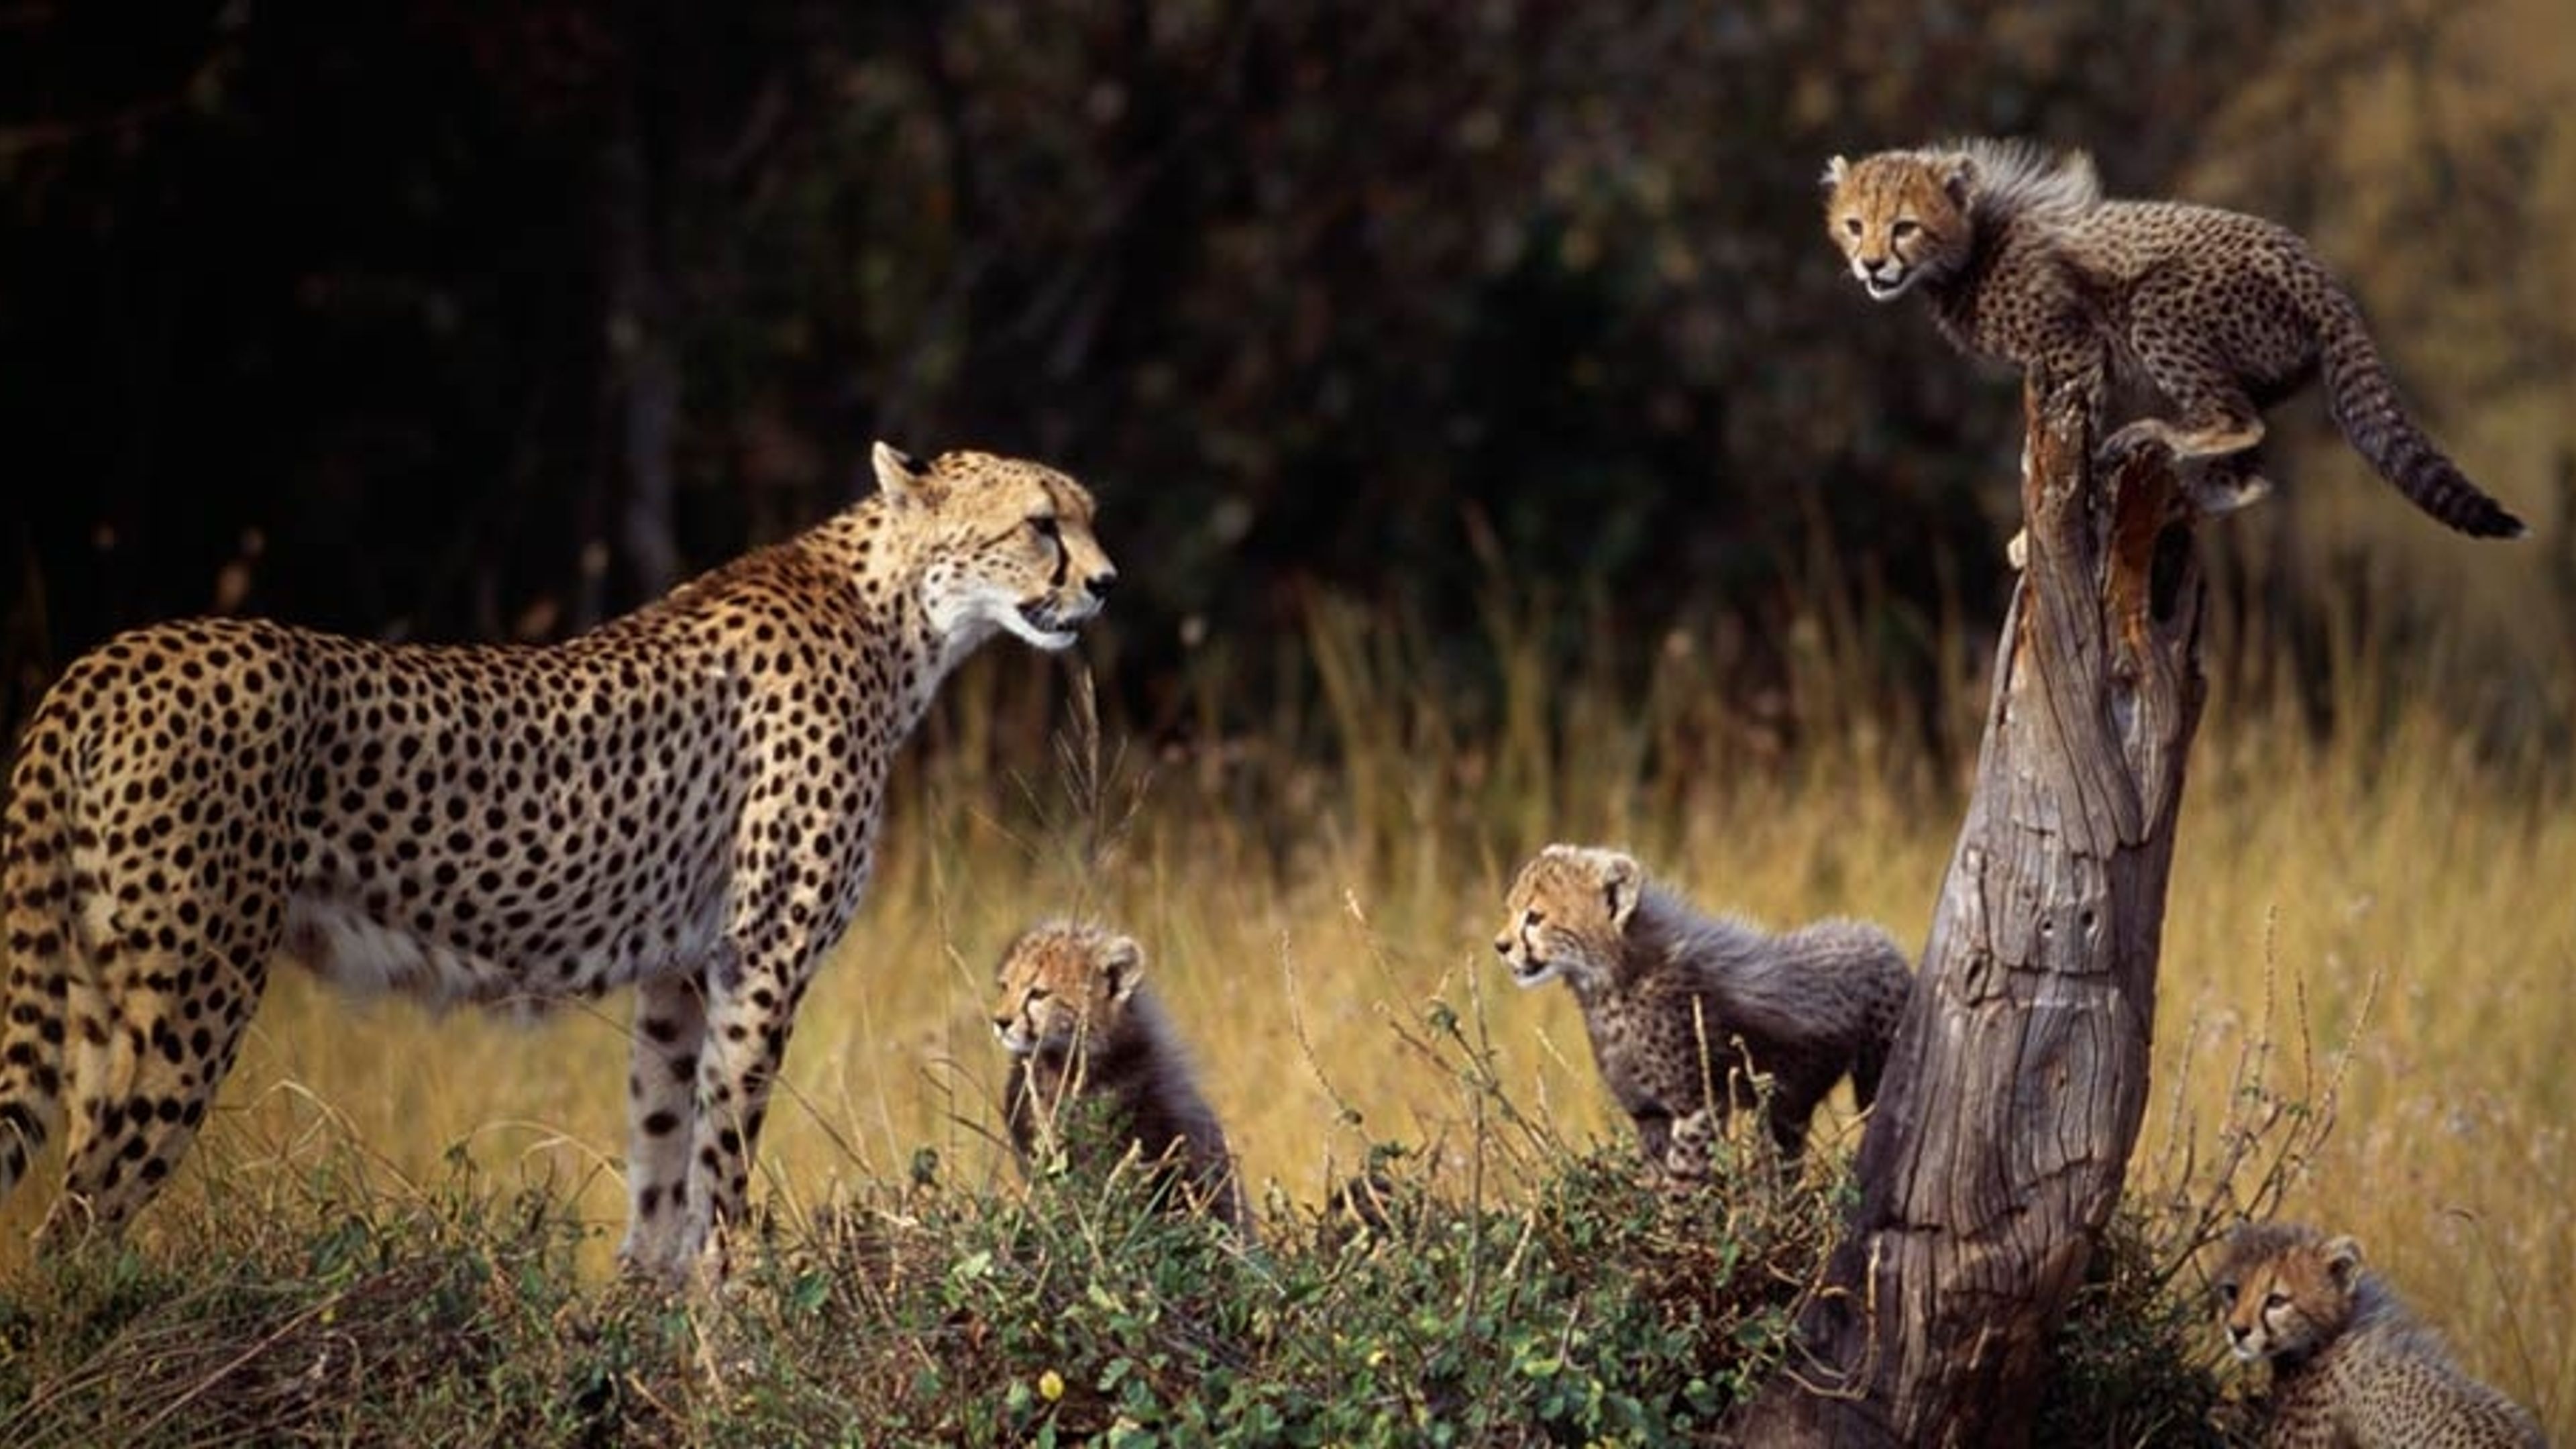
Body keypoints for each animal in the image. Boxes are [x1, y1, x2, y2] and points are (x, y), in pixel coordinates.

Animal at [0, 441, 1116, 1283]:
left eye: (1088, 516)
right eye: (1039, 524)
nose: (1105, 585)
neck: (901, 617)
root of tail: (110, 660)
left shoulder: (678, 976)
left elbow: (665, 1162)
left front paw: (650, 1325)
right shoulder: (761, 962)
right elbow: (725, 1165)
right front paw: (736, 1321)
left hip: (104, 999)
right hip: (196, 993)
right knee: (75, 1227)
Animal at [1493, 843, 1913, 1182]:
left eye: (1535, 917)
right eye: (1511, 911)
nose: (1500, 946)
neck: (1611, 981)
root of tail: (1877, 934)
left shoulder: (1699, 1108)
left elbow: (1682, 1186)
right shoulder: (1650, 1115)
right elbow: (1653, 1182)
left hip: (1872, 1080)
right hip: (1788, 1105)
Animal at [1823, 137, 2525, 539]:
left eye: (1906, 227)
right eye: (1855, 225)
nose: (1872, 266)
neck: (1974, 243)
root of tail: (2324, 277)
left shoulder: (2073, 343)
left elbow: (2072, 430)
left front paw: (2037, 536)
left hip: (2158, 305)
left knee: (2237, 420)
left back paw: (2156, 436)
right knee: (2254, 469)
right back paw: (2208, 488)